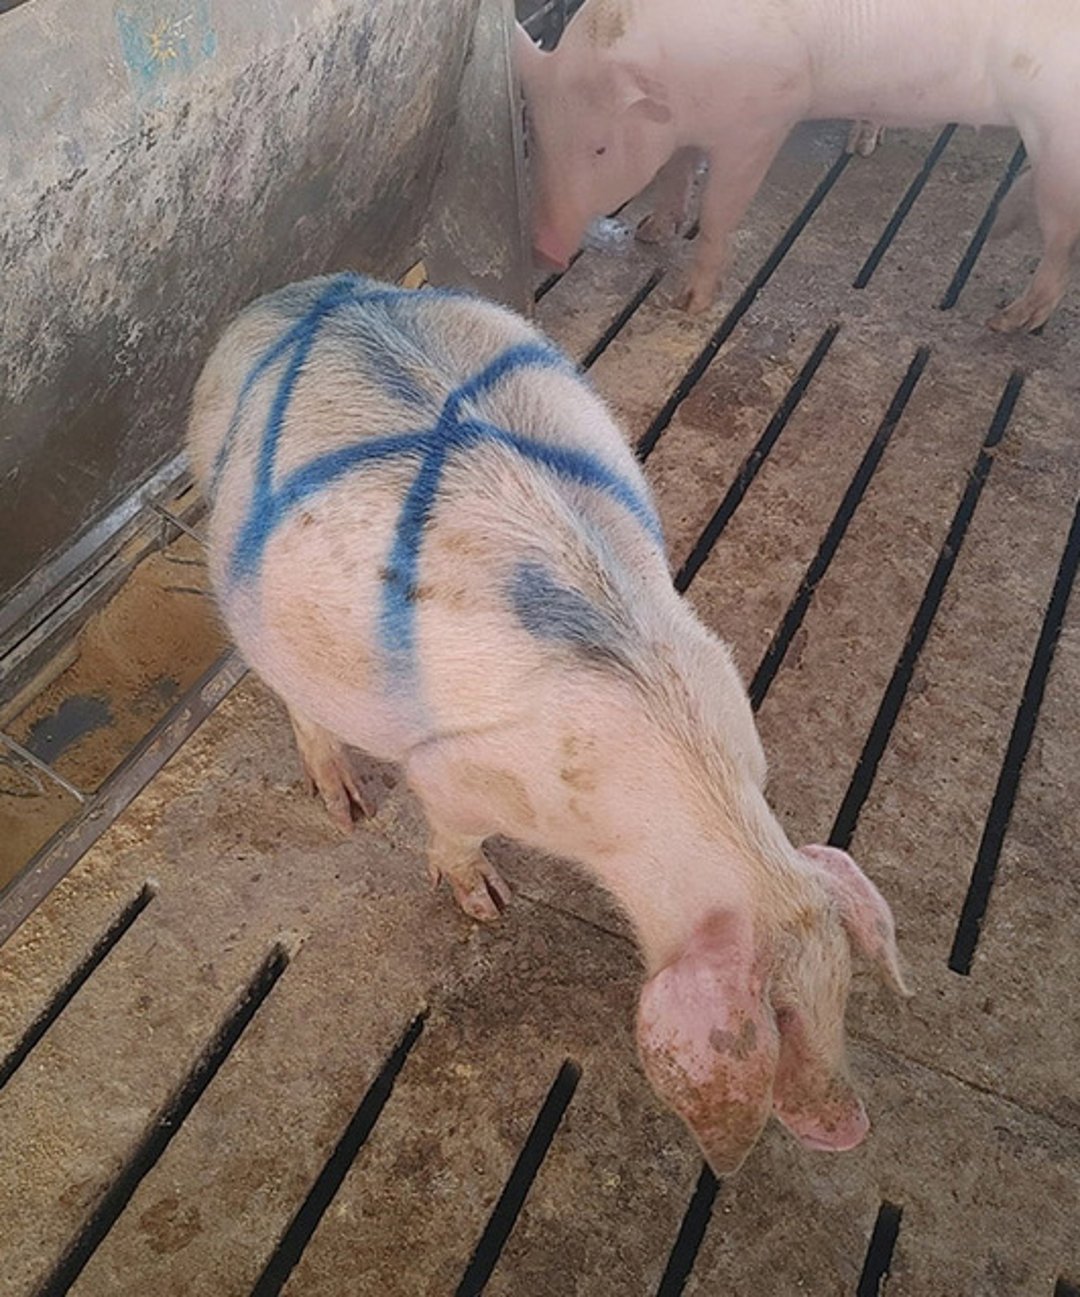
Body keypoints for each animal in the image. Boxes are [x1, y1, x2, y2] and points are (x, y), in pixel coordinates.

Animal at [188, 272, 908, 1174]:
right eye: (775, 1017)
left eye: (845, 983)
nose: (852, 1129)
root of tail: (289, 300)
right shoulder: (456, 778)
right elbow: (454, 833)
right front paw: (488, 905)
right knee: (301, 705)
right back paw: (345, 806)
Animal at [514, 0, 1080, 332]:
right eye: (536, 136)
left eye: (599, 149)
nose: (540, 246)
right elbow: (676, 171)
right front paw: (651, 232)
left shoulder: (762, 119)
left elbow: (718, 213)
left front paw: (689, 304)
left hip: (1057, 142)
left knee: (1062, 241)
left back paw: (1008, 321)